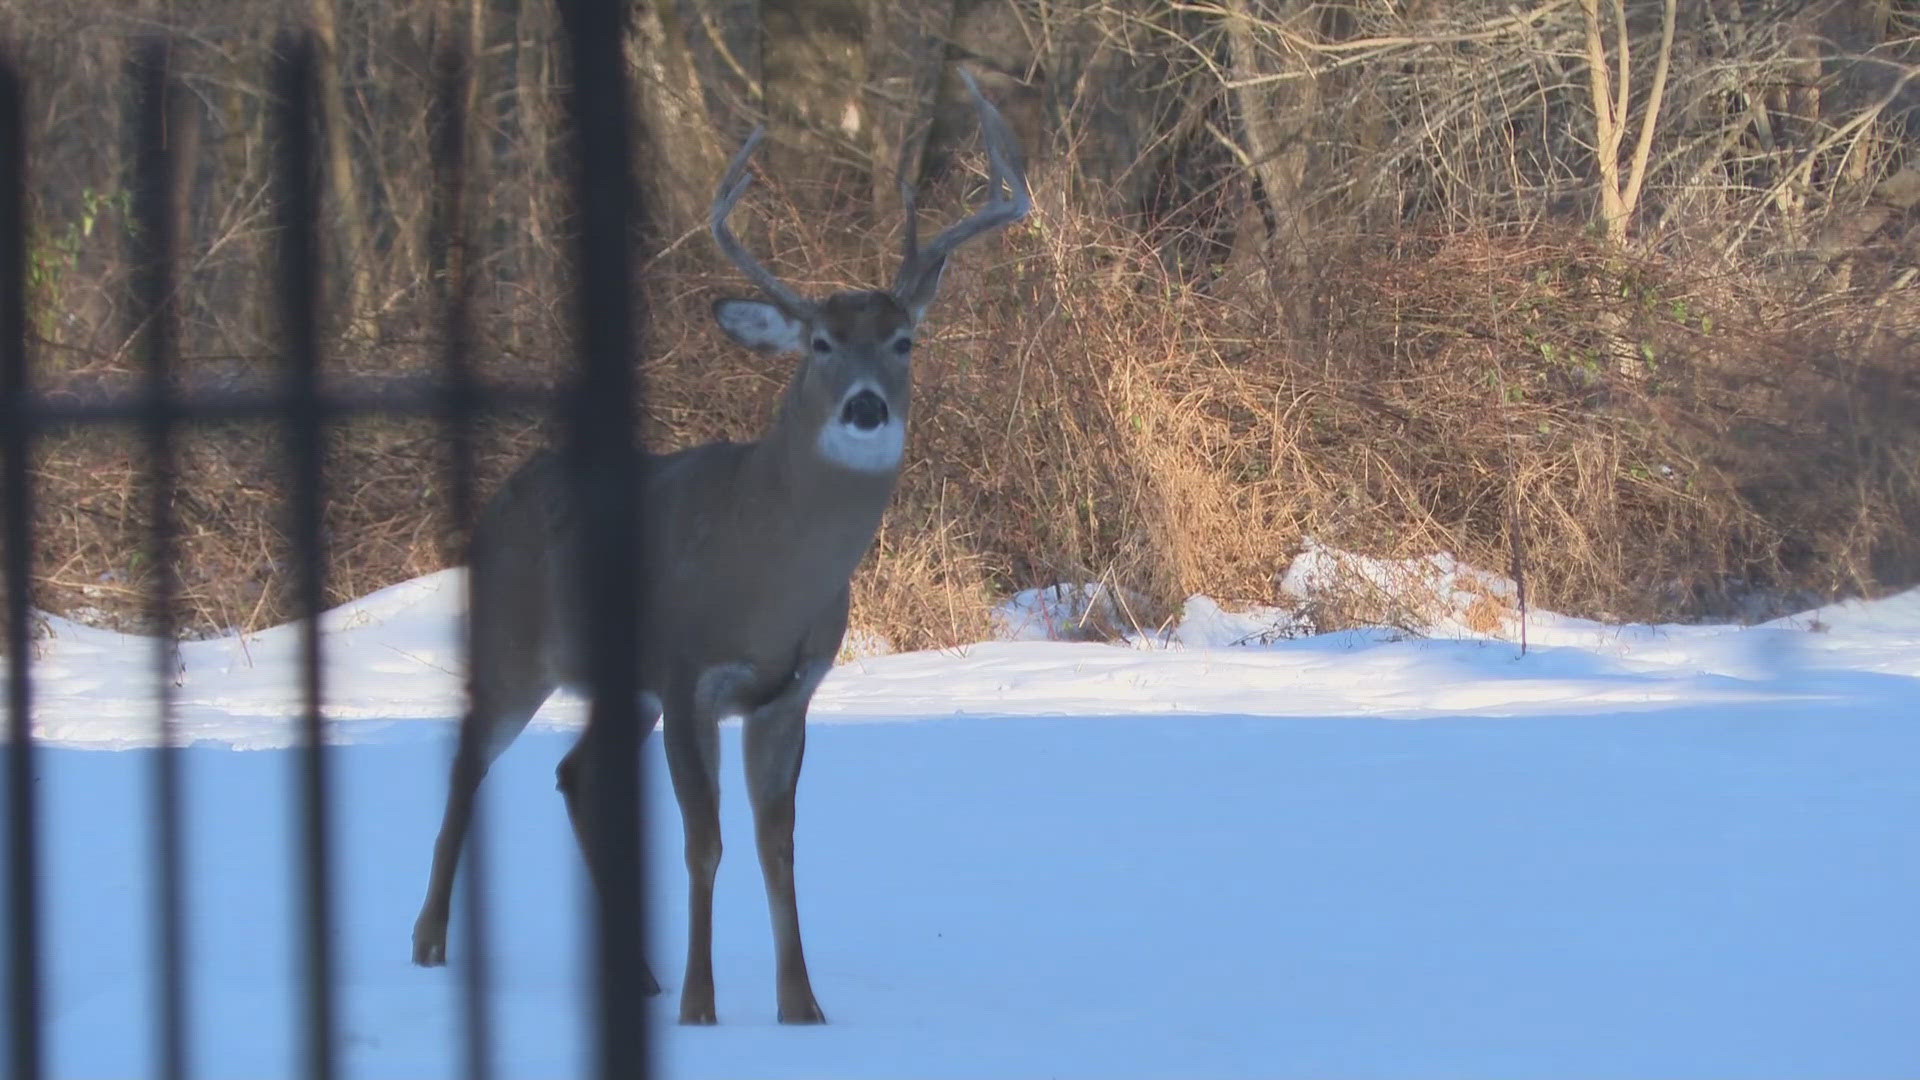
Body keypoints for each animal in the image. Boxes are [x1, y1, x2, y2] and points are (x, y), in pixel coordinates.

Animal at [409, 69, 1030, 1026]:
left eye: (904, 341)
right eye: (819, 342)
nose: (864, 406)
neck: (765, 573)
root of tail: (498, 503)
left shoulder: (787, 692)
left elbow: (778, 848)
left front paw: (801, 1007)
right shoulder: (688, 673)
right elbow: (704, 843)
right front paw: (701, 1007)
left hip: (616, 685)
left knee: (573, 773)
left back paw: (636, 972)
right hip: (516, 647)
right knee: (468, 757)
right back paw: (431, 943)